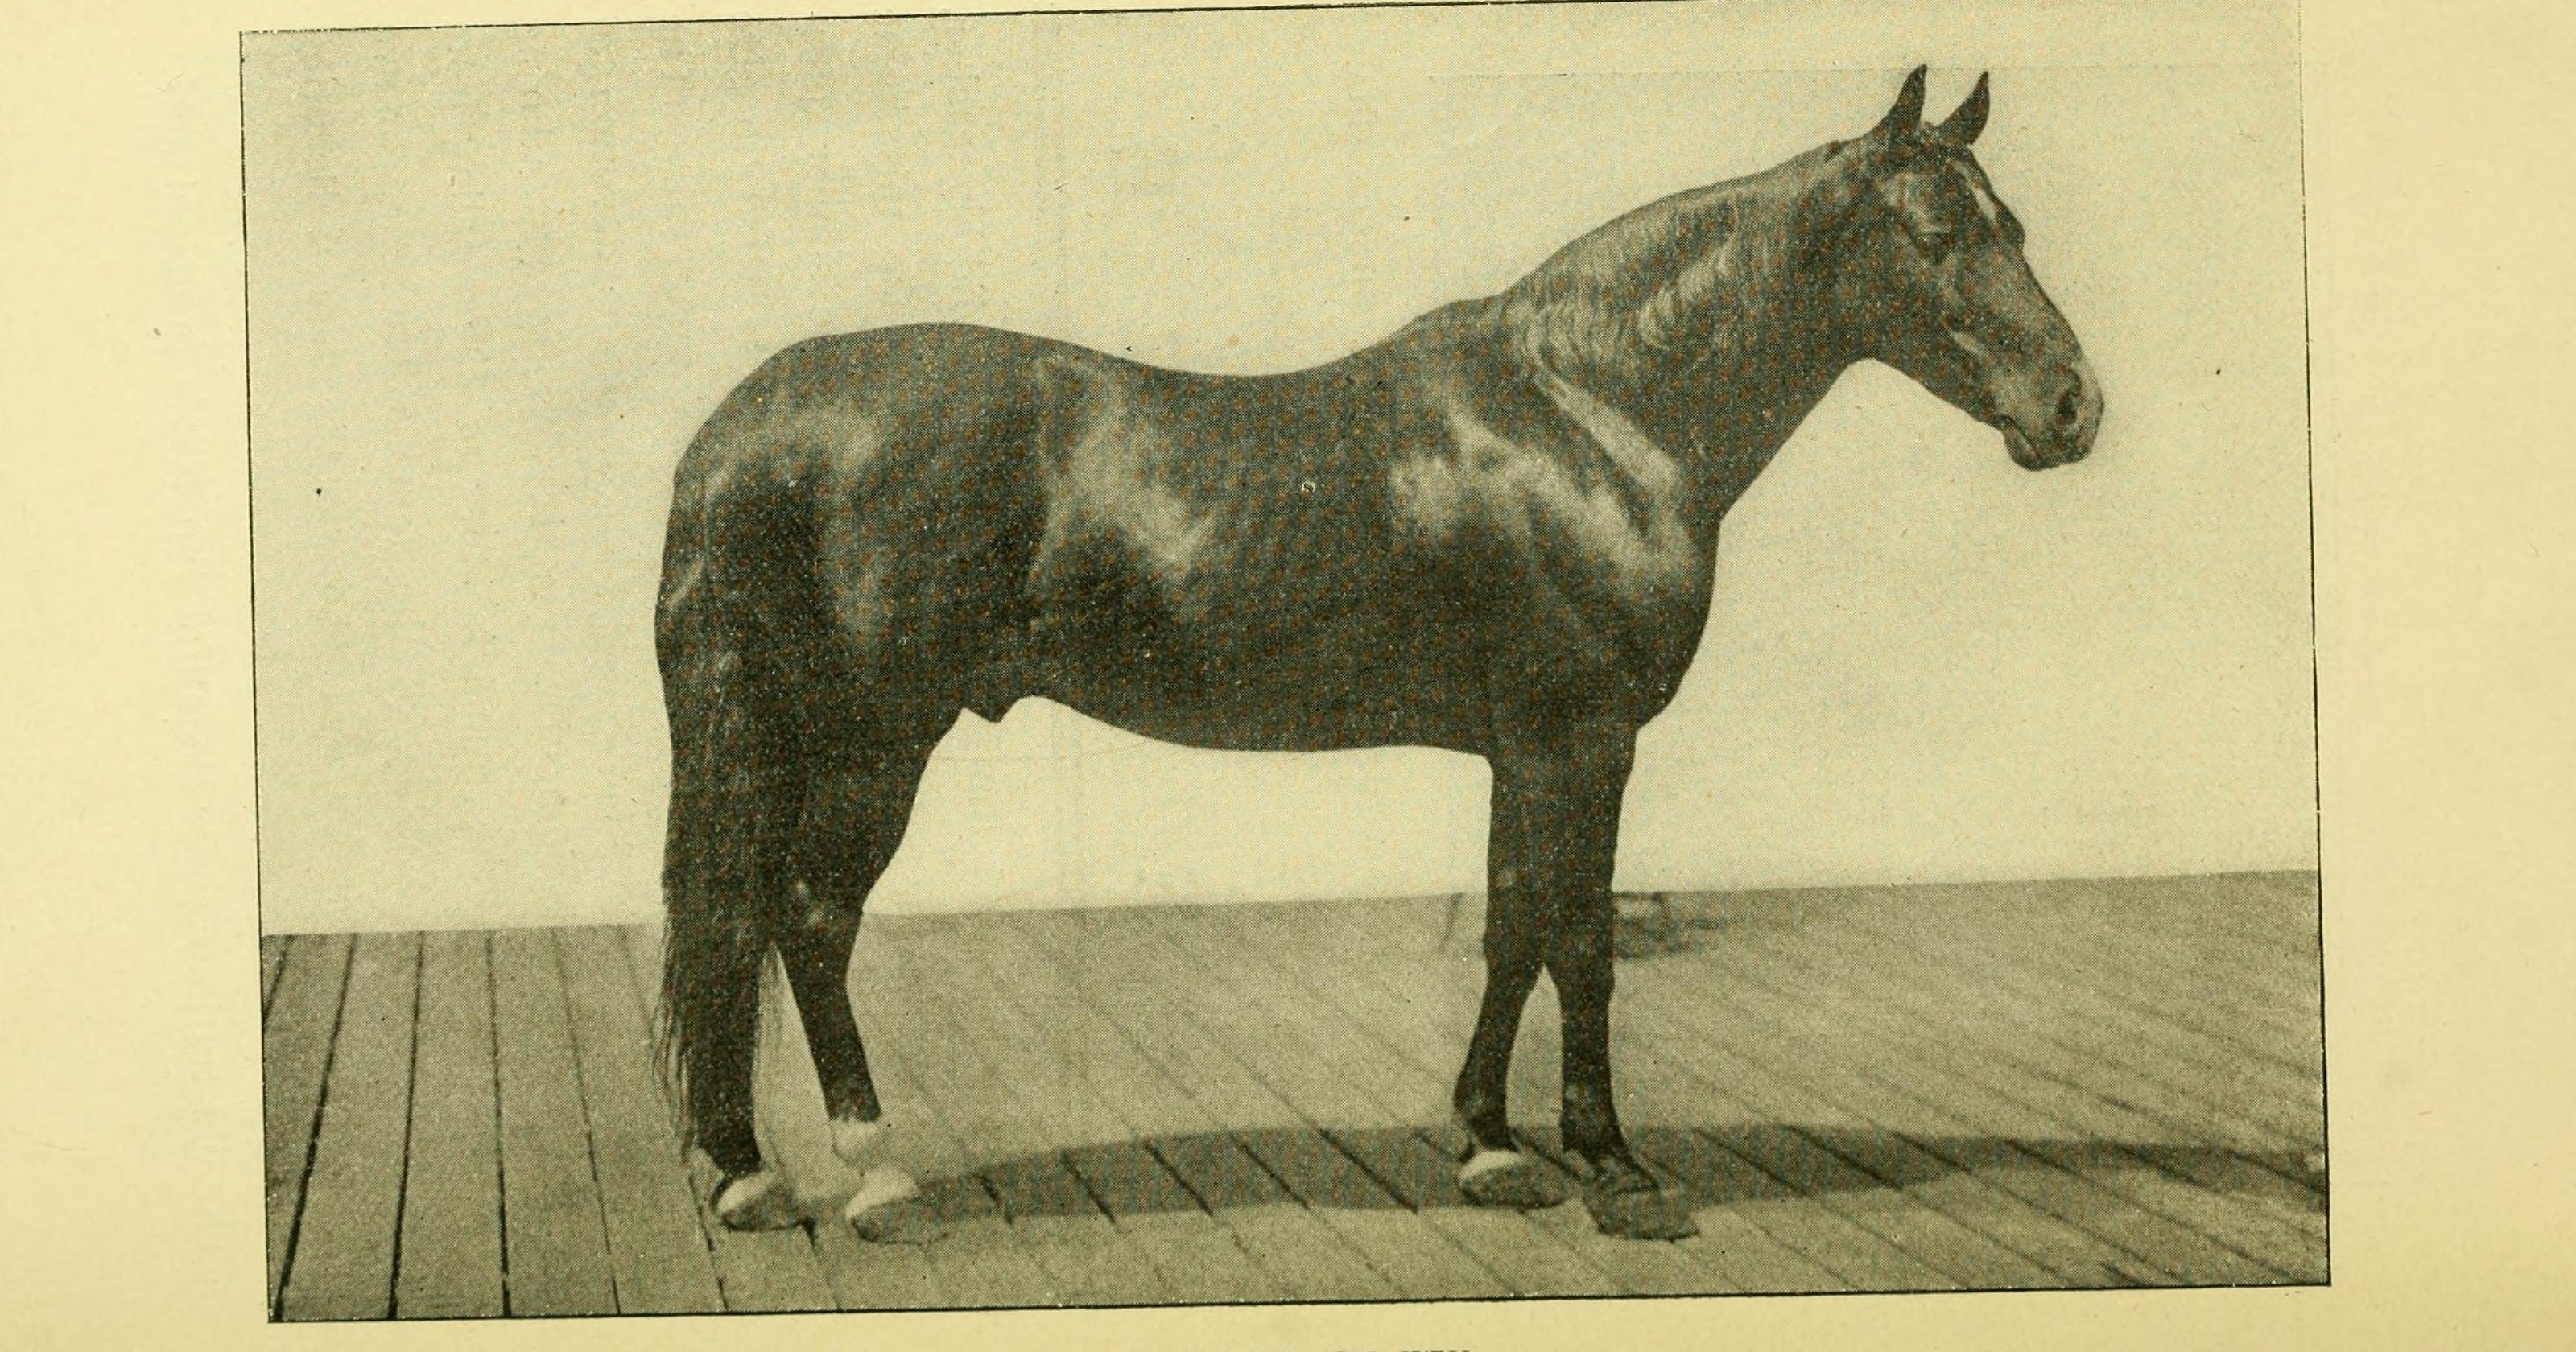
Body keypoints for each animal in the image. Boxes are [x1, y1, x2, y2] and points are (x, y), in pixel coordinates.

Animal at [653, 66, 2103, 1245]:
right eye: (1937, 232)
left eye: (2015, 227)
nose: (2072, 407)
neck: (1590, 413)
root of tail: (749, 421)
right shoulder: (1582, 737)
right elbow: (1583, 940)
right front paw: (1615, 1170)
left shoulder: (1524, 746)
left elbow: (1513, 926)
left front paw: (1492, 1149)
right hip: (875, 737)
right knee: (810, 916)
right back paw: (874, 1173)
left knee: (742, 916)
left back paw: (745, 1169)